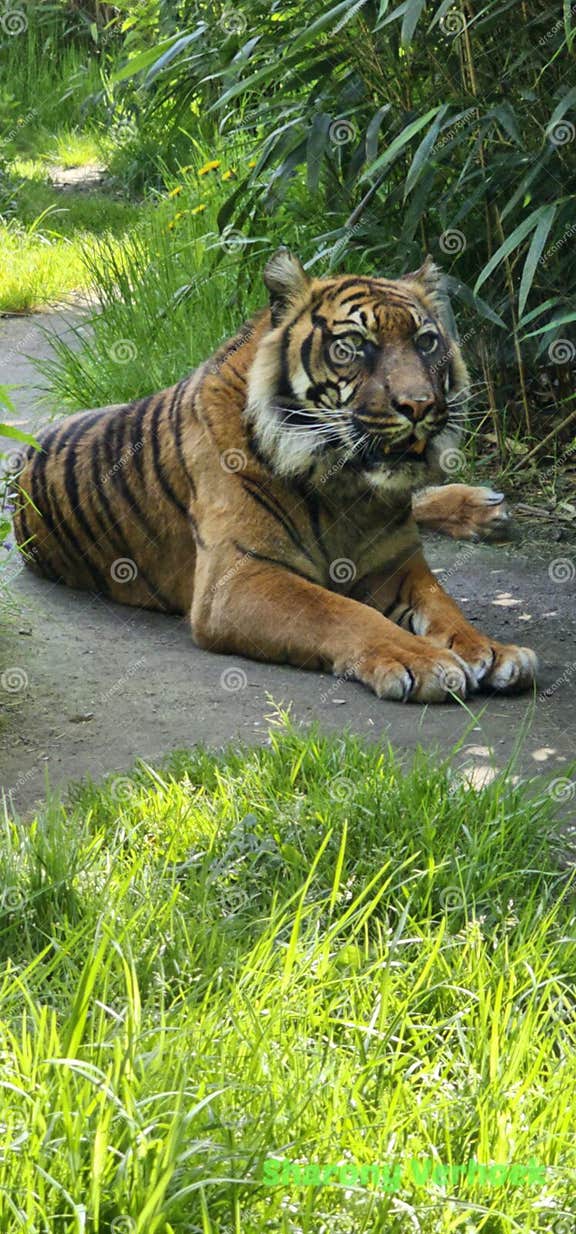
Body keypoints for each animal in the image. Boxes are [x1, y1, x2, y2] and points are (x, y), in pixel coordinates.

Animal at [13, 249, 537, 704]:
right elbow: (343, 612)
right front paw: (423, 660)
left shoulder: (397, 562)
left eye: (426, 342)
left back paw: (483, 509)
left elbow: (446, 606)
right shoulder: (236, 578)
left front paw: (492, 651)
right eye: (353, 347)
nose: (419, 405)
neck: (345, 485)